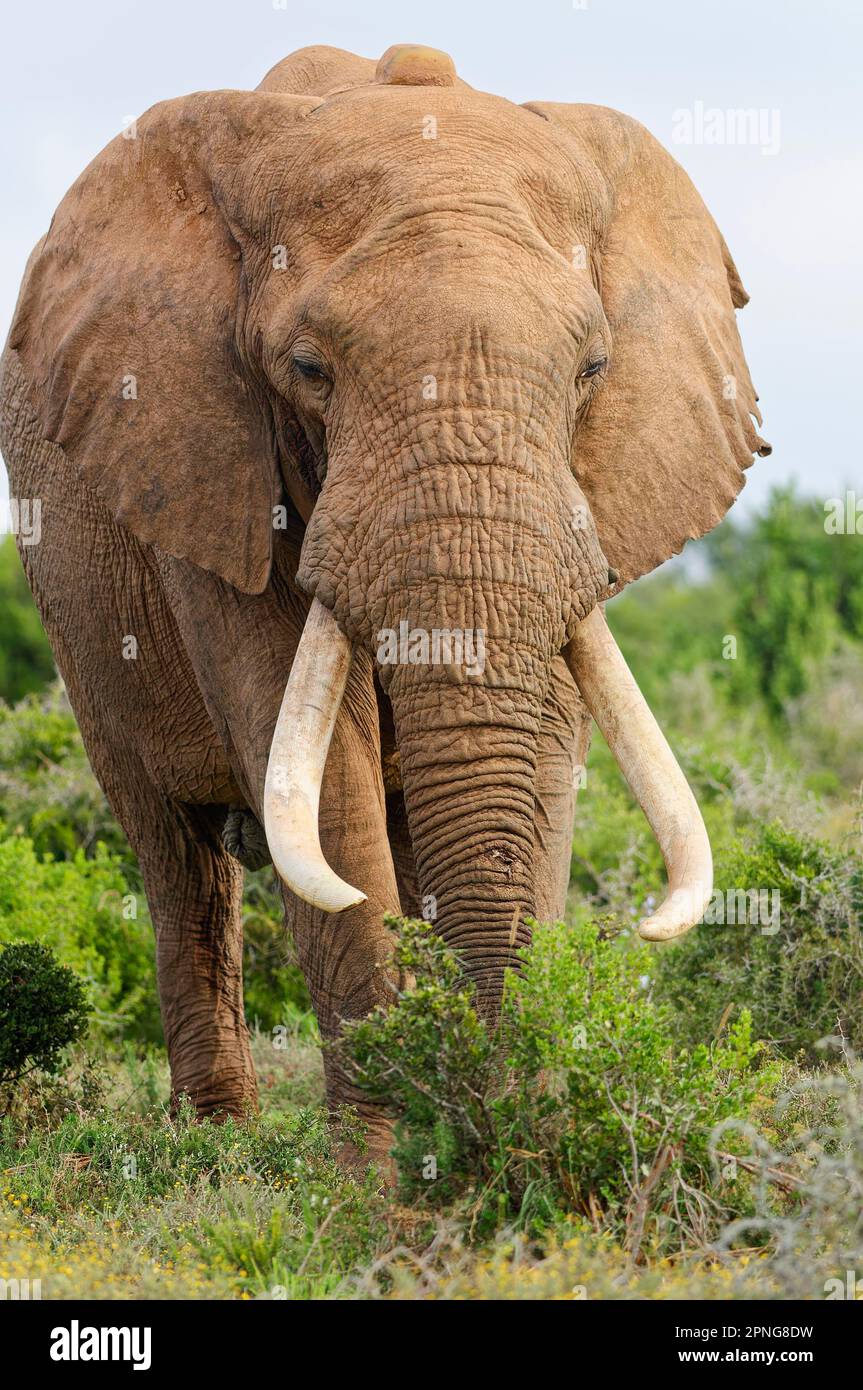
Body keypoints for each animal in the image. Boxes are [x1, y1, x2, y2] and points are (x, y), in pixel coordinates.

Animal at [0, 43, 769, 1159]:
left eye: (591, 368)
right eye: (308, 369)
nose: (493, 1129)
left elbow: (546, 744)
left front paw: (512, 1130)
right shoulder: (209, 464)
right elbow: (319, 778)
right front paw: (383, 1173)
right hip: (82, 621)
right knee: (178, 858)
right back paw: (215, 1141)